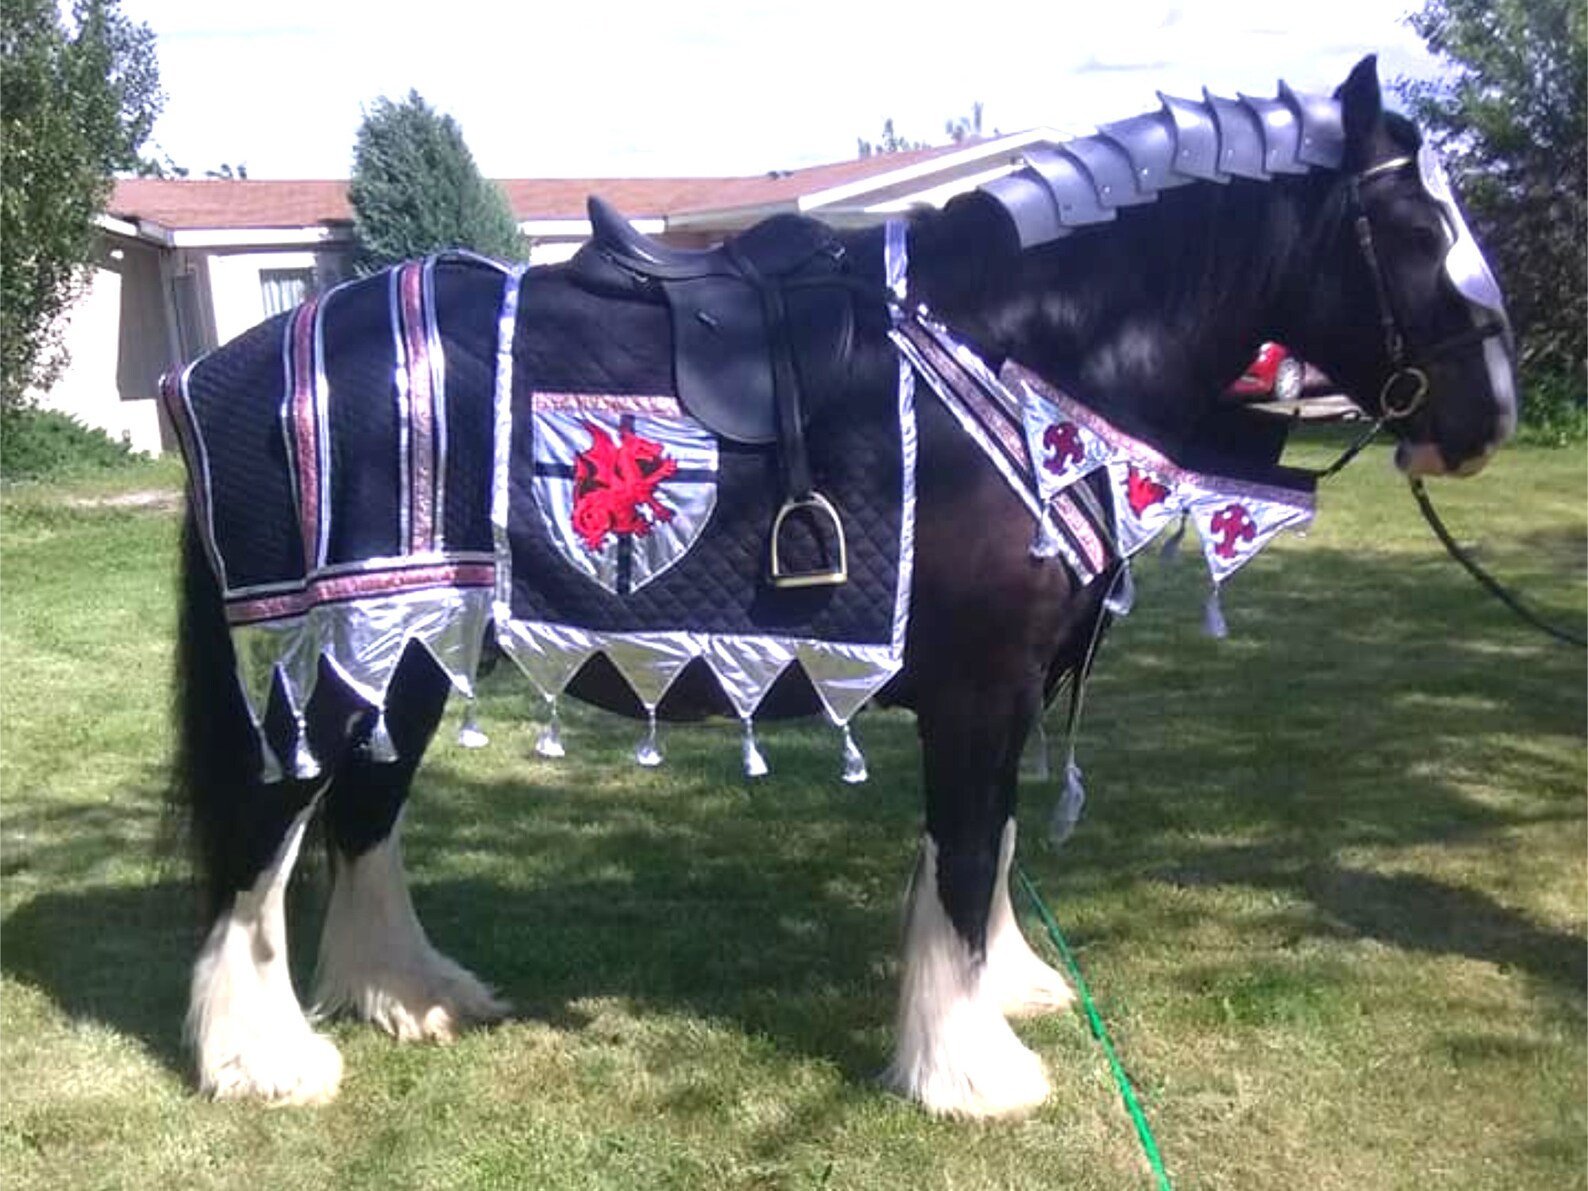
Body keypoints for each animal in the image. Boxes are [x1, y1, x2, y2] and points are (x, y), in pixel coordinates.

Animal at [164, 57, 1515, 1118]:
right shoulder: (980, 689)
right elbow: (966, 856)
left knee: (363, 816)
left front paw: (1006, 993)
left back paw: (406, 997)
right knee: (268, 839)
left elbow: (983, 849)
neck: (1021, 349)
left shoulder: (1004, 691)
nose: (1486, 420)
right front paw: (972, 1073)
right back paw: (262, 1064)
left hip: (404, 653)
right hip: (330, 658)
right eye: (1413, 233)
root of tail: (218, 372)